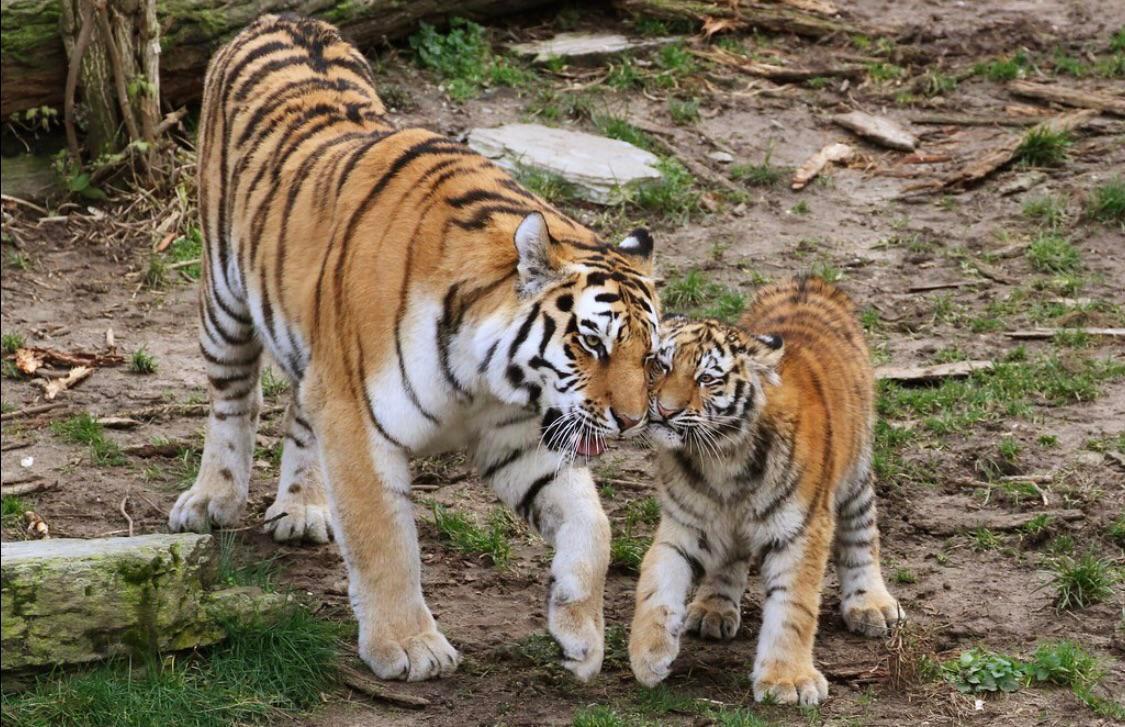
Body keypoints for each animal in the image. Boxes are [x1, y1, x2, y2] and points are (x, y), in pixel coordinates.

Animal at [166, 14, 662, 683]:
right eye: (591, 342)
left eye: (651, 357)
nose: (632, 421)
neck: (488, 379)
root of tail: (286, 17)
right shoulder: (356, 419)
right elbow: (385, 542)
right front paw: (408, 648)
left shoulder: (515, 438)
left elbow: (593, 524)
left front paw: (579, 635)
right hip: (224, 298)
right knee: (233, 401)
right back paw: (211, 498)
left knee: (298, 408)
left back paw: (302, 508)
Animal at [628, 276, 904, 705]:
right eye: (660, 365)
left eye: (707, 379)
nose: (664, 411)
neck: (722, 458)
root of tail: (807, 279)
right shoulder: (683, 524)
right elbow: (656, 585)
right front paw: (648, 656)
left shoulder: (801, 530)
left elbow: (793, 606)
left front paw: (787, 680)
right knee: (729, 559)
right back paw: (713, 609)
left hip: (857, 472)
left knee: (861, 536)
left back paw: (869, 604)